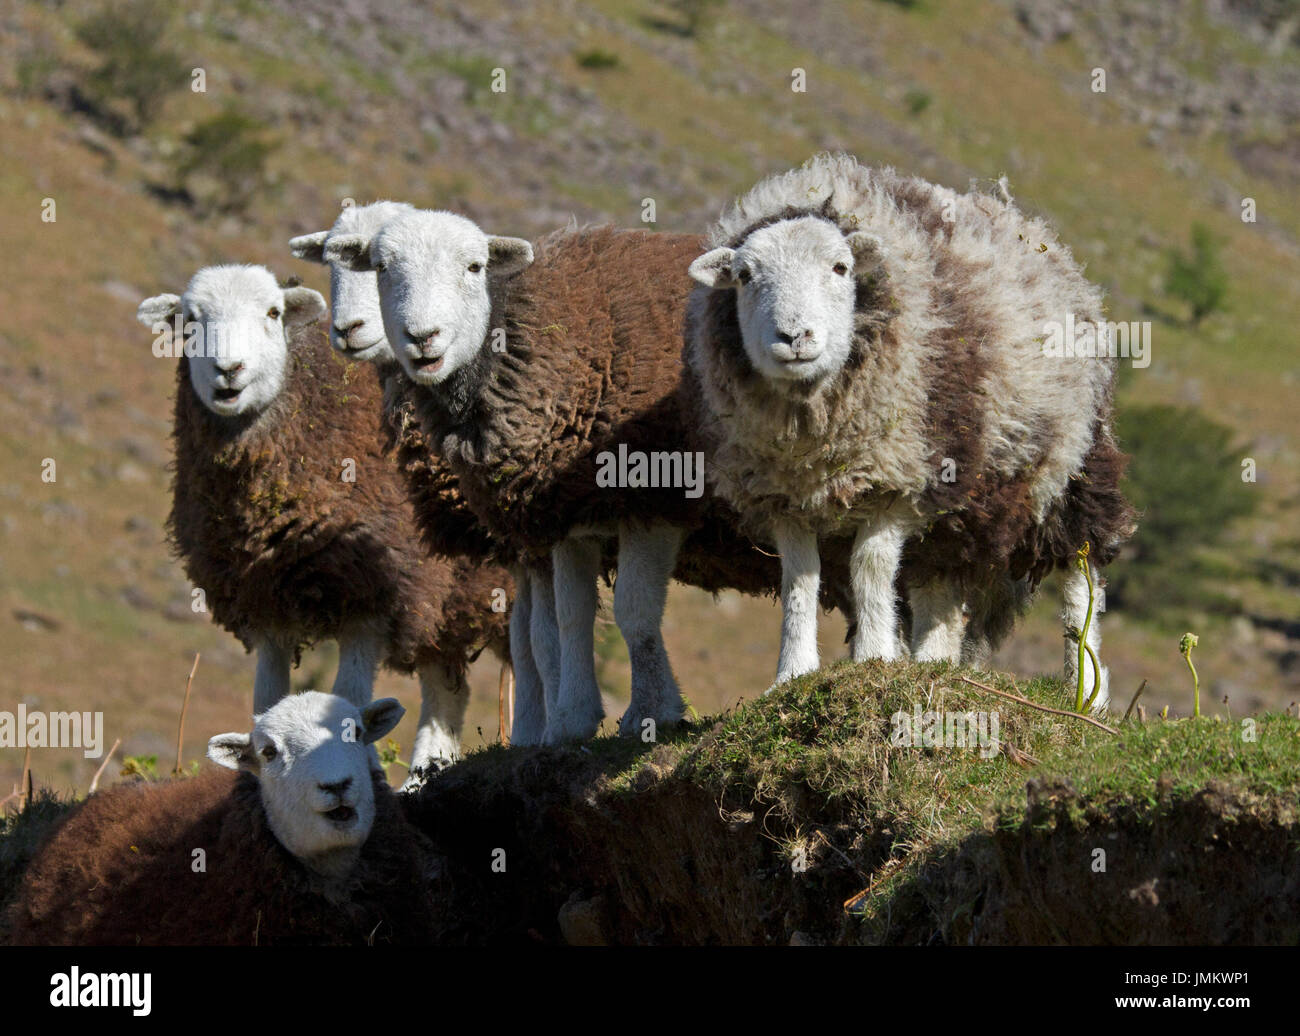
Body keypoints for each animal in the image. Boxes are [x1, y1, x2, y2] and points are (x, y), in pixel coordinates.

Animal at [136, 264, 511, 780]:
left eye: (273, 313)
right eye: (189, 320)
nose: (229, 370)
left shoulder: (373, 597)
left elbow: (349, 702)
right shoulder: (265, 602)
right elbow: (265, 703)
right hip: (449, 595)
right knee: (447, 689)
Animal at [685, 155, 1135, 706]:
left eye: (840, 268)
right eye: (745, 276)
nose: (794, 336)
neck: (813, 434)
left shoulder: (899, 481)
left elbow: (871, 567)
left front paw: (874, 656)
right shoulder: (783, 497)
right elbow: (799, 581)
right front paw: (793, 673)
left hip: (1076, 462)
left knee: (1079, 572)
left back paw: (1085, 688)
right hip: (958, 511)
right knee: (938, 586)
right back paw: (933, 664)